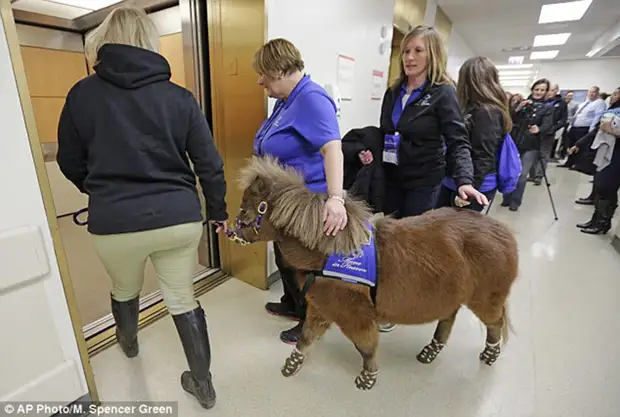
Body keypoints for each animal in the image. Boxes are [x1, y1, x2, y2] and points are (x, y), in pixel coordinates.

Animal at [228, 155, 520, 390]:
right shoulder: (321, 307)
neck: (326, 254)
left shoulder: (354, 315)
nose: (232, 231)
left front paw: (367, 379)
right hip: (453, 295)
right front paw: (291, 365)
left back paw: (490, 354)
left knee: (495, 322)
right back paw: (430, 351)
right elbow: (307, 338)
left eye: (247, 207)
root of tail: (504, 233)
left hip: (485, 298)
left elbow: (366, 347)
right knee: (448, 319)